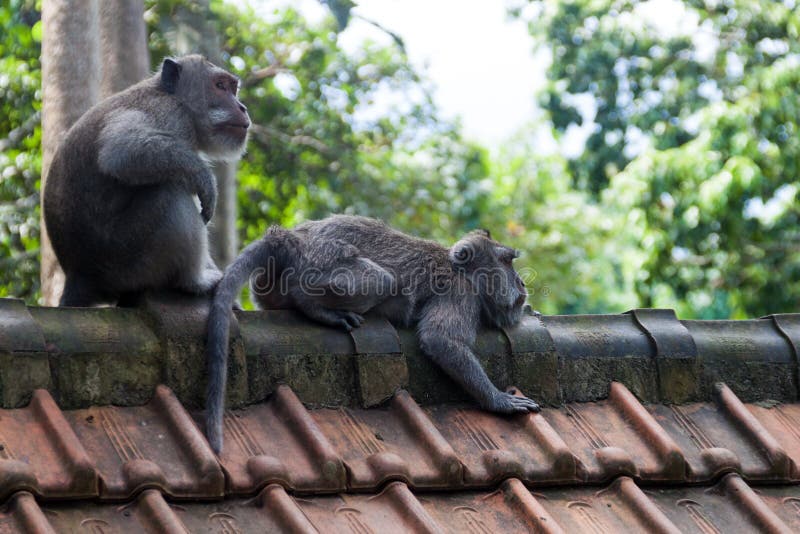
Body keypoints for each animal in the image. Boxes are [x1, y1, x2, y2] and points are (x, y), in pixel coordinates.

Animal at [43, 55, 250, 306]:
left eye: (233, 88)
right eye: (220, 86)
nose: (242, 107)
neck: (174, 98)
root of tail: (80, 277)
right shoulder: (170, 115)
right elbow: (120, 152)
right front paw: (205, 179)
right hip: (127, 261)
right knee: (170, 193)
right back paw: (194, 281)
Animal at [205, 215, 539, 453]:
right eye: (507, 261)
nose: (522, 283)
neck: (463, 271)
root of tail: (290, 239)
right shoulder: (461, 293)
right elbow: (441, 340)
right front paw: (498, 401)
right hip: (322, 264)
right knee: (382, 280)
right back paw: (313, 306)